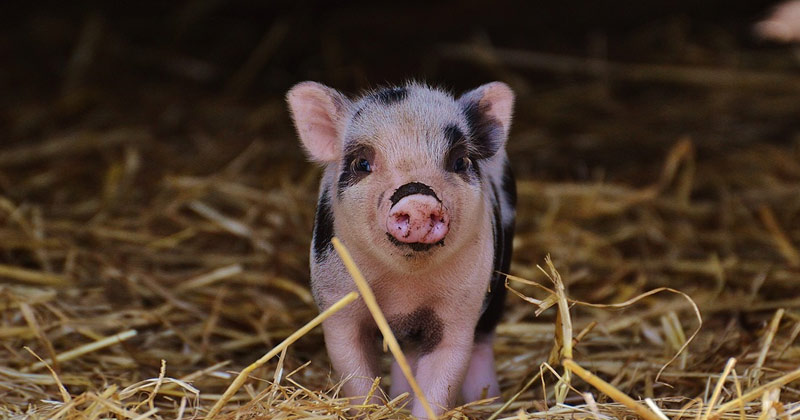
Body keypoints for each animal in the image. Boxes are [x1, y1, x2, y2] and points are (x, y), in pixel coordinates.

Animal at [286, 80, 516, 418]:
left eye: (460, 161)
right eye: (362, 163)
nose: (418, 199)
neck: (404, 289)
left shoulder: (459, 310)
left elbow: (442, 377)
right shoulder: (338, 303)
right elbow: (355, 374)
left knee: (482, 342)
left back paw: (488, 402)